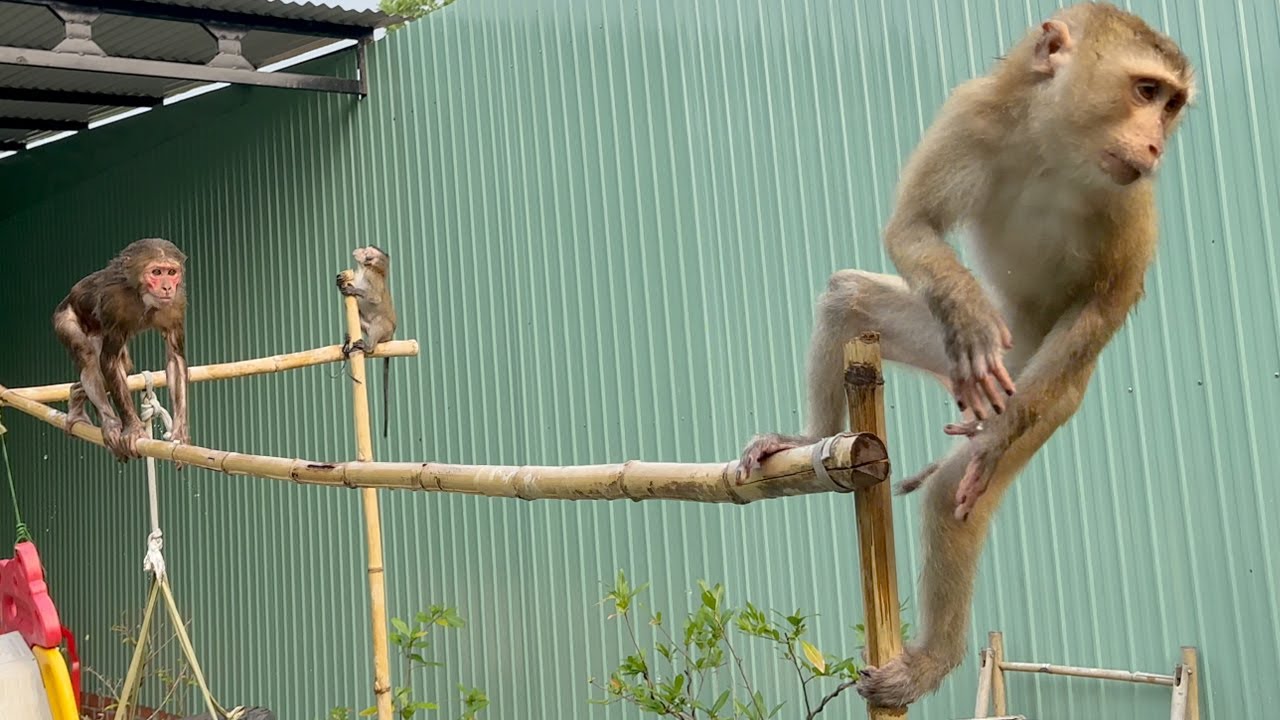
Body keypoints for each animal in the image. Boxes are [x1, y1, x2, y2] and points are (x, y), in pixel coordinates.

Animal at [52, 237, 191, 462]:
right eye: (156, 272)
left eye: (171, 272)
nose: (167, 286)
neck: (142, 294)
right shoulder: (114, 302)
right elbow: (109, 360)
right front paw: (133, 429)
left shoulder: (176, 304)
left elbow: (175, 358)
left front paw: (180, 432)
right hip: (63, 319)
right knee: (89, 357)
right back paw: (107, 422)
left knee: (122, 366)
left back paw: (76, 395)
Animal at [336, 245, 397, 438]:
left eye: (366, 252)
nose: (358, 249)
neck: (364, 270)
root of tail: (391, 335)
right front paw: (340, 282)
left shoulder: (372, 276)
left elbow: (375, 298)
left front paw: (355, 291)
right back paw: (348, 338)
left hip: (385, 329)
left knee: (378, 321)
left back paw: (369, 347)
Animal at [736, 3, 1193, 707]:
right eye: (1146, 91)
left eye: (1170, 105)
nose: (1155, 144)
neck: (1057, 145)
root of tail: (1025, 353)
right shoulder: (973, 113)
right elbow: (913, 226)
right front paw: (969, 314)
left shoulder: (1129, 196)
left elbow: (1101, 307)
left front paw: (989, 441)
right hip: (982, 353)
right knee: (851, 300)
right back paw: (814, 439)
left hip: (1050, 390)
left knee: (960, 487)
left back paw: (932, 658)